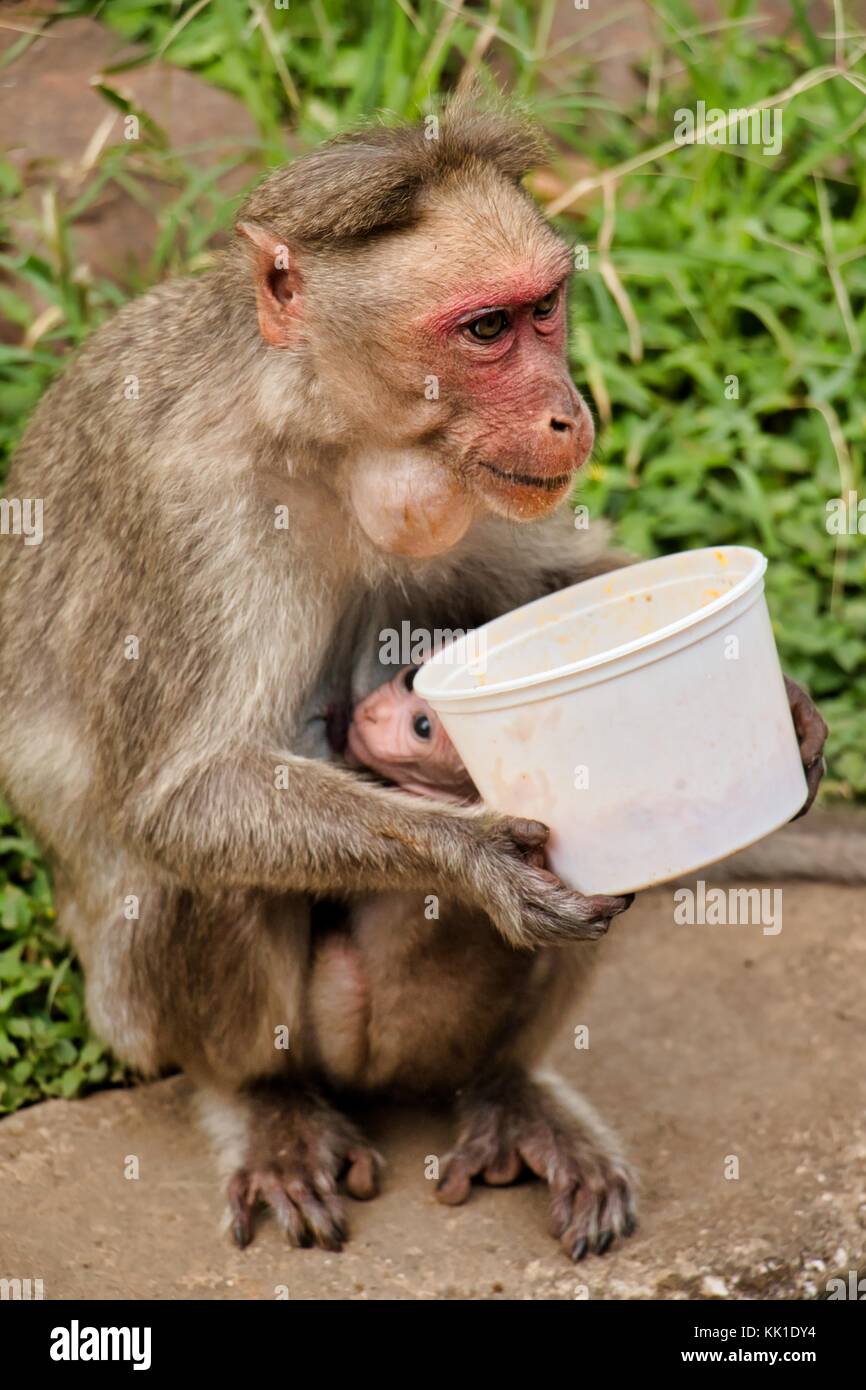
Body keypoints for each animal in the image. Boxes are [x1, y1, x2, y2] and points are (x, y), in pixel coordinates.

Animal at [0, 98, 834, 1262]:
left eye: (544, 309)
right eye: (485, 331)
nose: (569, 413)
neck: (332, 435)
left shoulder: (486, 483)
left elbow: (554, 579)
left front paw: (787, 707)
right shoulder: (184, 506)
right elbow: (183, 797)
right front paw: (478, 857)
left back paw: (501, 1084)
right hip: (141, 1018)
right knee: (204, 879)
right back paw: (265, 1100)